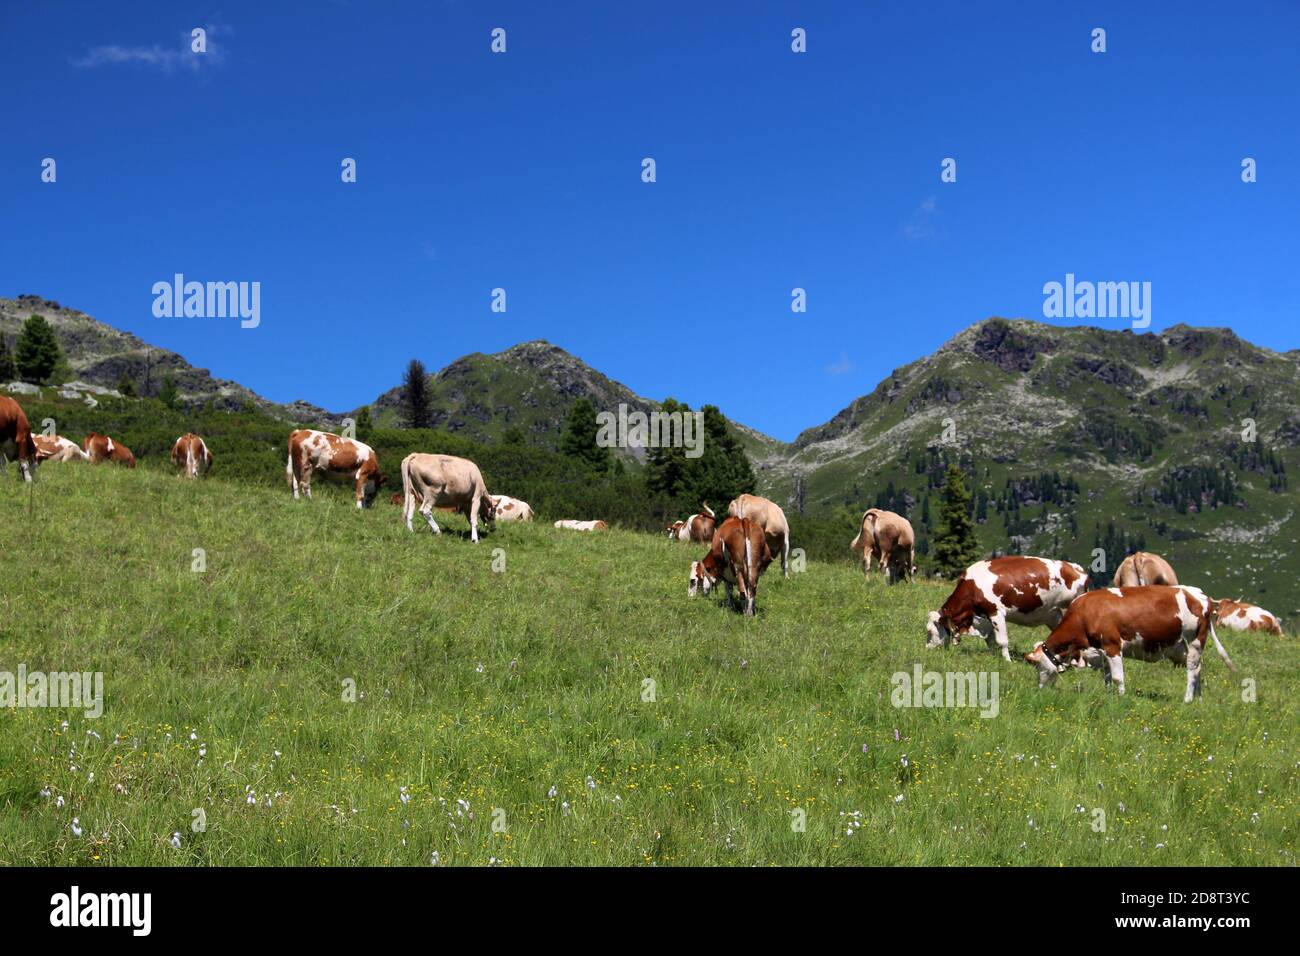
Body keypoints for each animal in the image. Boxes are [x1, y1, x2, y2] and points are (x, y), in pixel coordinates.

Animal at [926, 556, 1089, 661]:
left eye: (931, 631)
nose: (927, 649)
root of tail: (1076, 568)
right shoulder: (986, 617)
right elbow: (991, 640)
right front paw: (992, 657)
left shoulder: (996, 612)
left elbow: (1002, 641)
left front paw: (1007, 661)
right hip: (1053, 615)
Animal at [1025, 585, 1236, 702]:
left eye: (1039, 667)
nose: (1040, 690)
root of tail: (1201, 595)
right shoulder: (1100, 652)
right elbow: (1107, 677)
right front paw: (1108, 696)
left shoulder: (1112, 645)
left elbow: (1118, 677)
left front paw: (1120, 698)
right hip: (1183, 647)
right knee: (1198, 669)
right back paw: (1198, 699)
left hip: (1195, 641)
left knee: (1192, 670)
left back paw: (1187, 699)